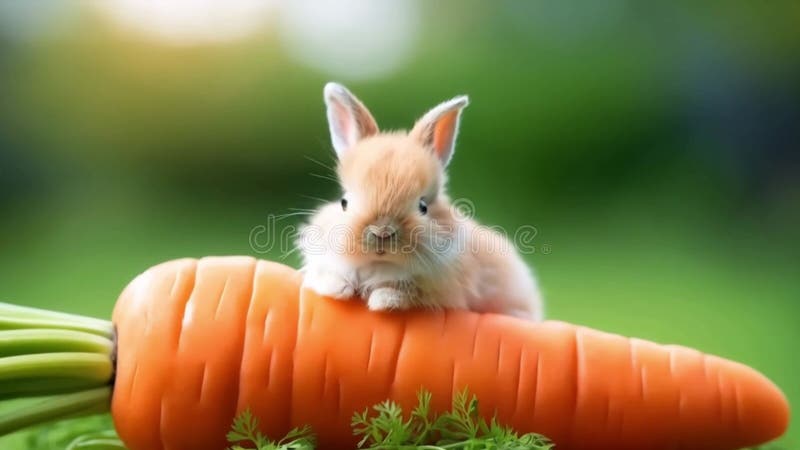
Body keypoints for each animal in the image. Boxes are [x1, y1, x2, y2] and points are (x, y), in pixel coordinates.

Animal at [297, 82, 543, 321]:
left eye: (423, 207)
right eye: (344, 202)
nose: (382, 232)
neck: (379, 265)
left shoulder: (442, 292)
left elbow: (408, 295)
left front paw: (381, 300)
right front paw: (337, 289)